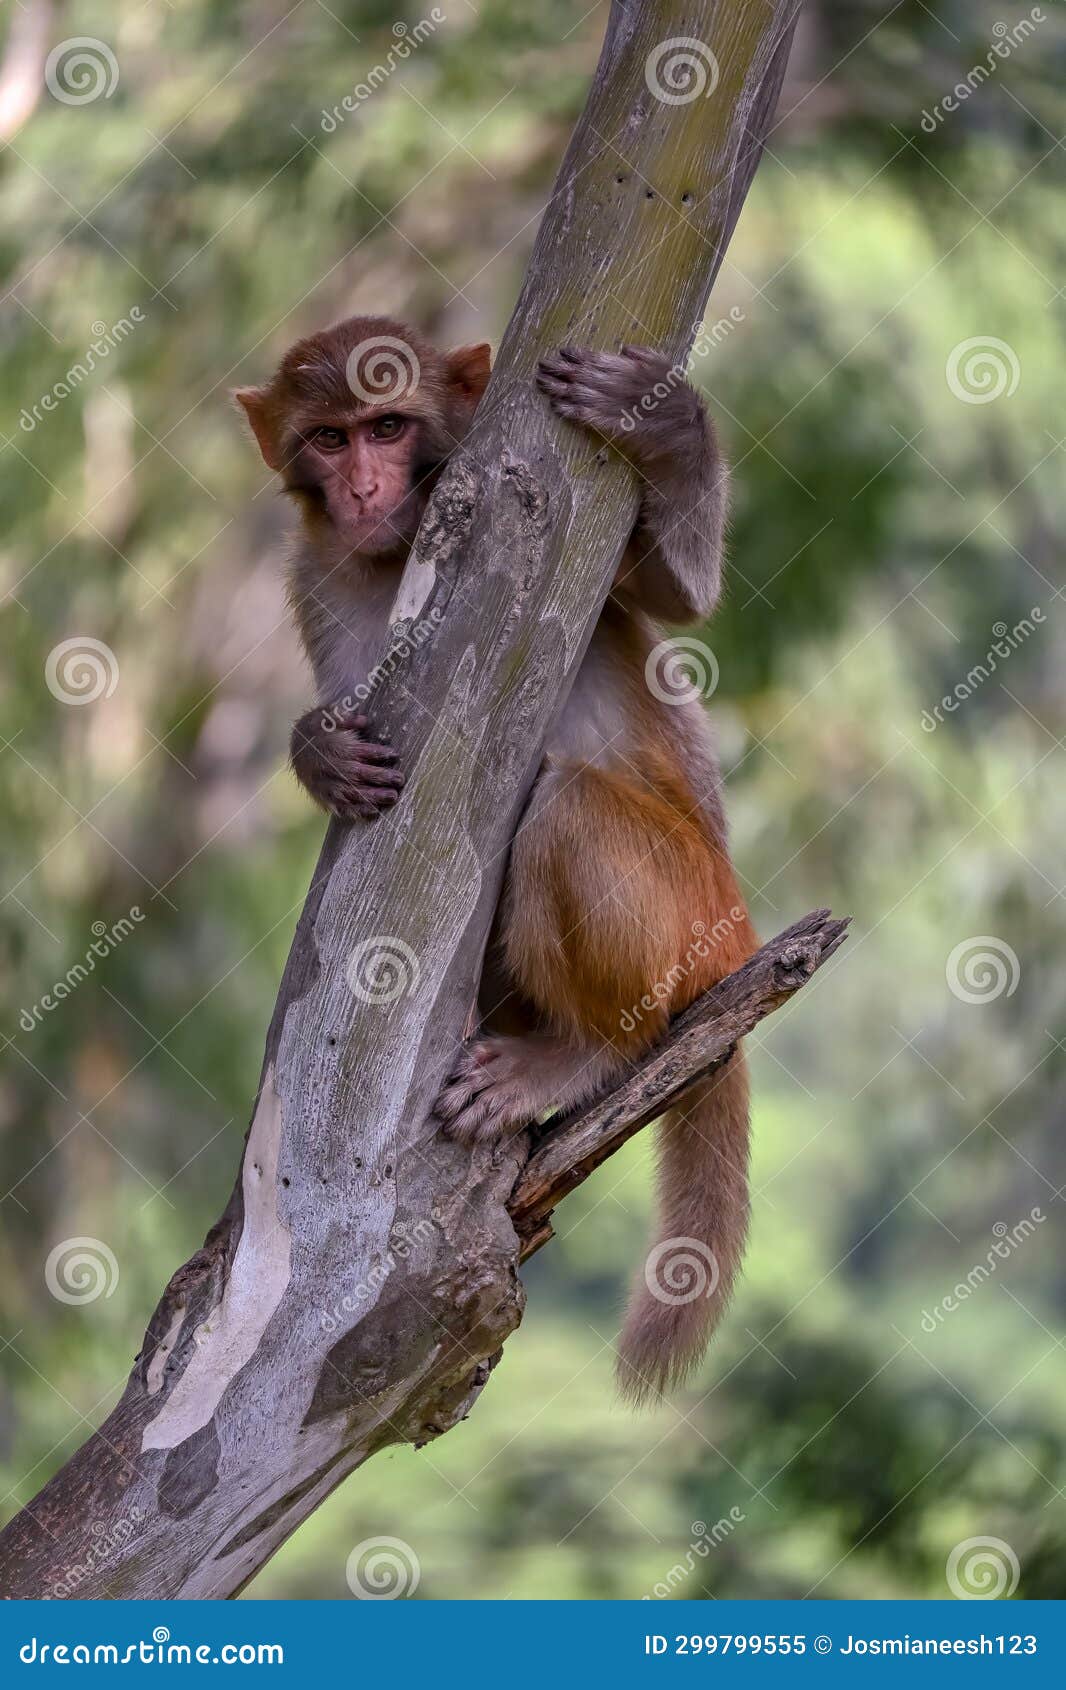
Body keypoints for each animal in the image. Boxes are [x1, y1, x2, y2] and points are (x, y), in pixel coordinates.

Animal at [236, 314, 759, 1404]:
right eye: (330, 438)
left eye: (388, 426)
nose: (364, 488)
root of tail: (739, 937)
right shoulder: (314, 575)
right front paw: (317, 750)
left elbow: (680, 599)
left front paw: (671, 435)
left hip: (692, 909)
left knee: (565, 807)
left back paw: (587, 1053)